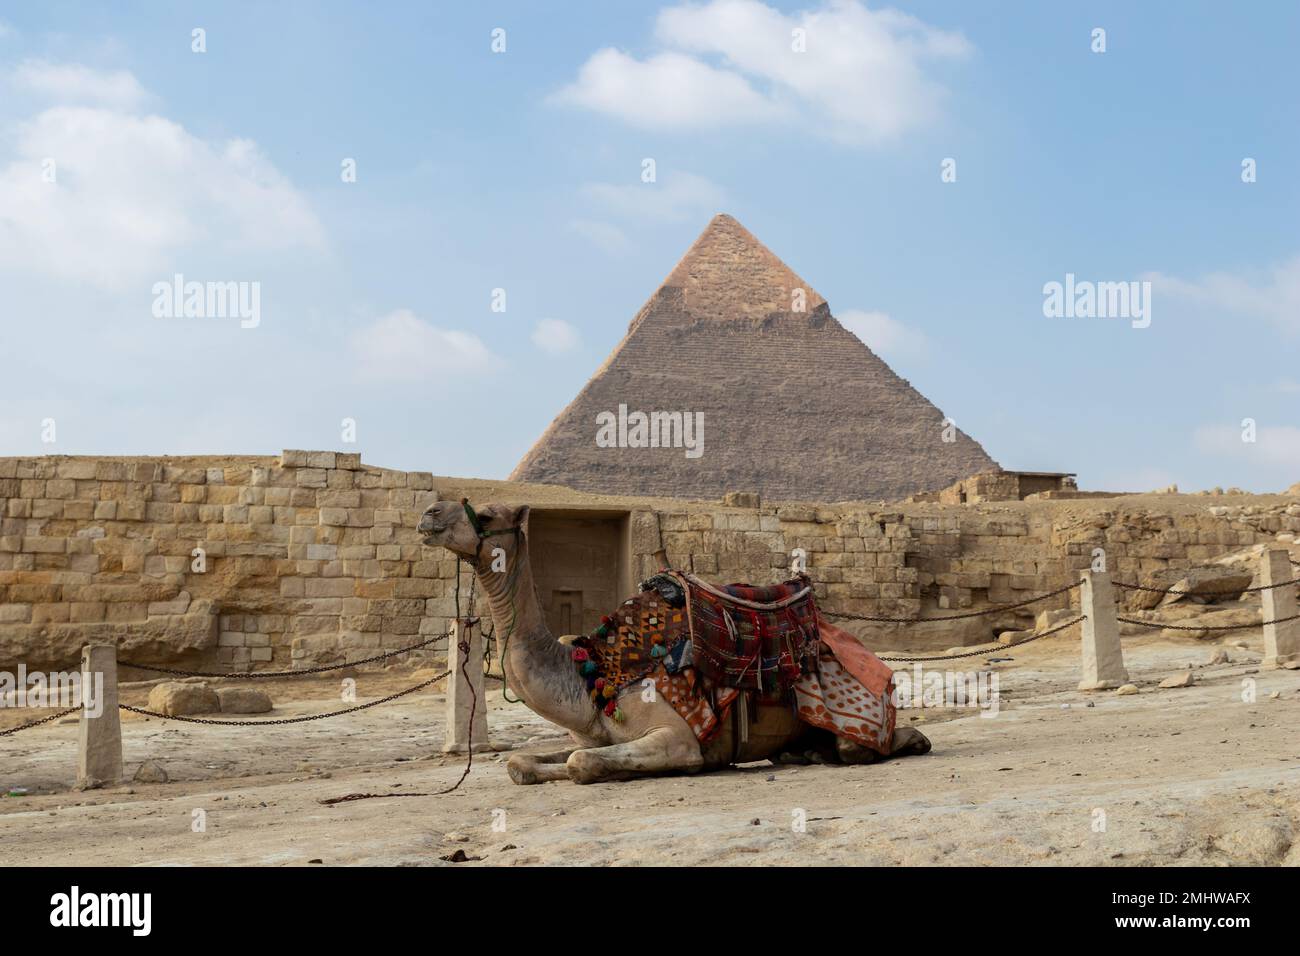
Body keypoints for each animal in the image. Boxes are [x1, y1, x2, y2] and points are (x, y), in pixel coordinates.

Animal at [418, 499, 930, 784]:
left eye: (486, 513)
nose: (428, 513)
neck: (587, 675)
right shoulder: (593, 732)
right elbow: (522, 764)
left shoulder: (676, 735)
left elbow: (582, 763)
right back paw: (799, 752)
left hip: (856, 713)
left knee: (868, 744)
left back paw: (898, 742)